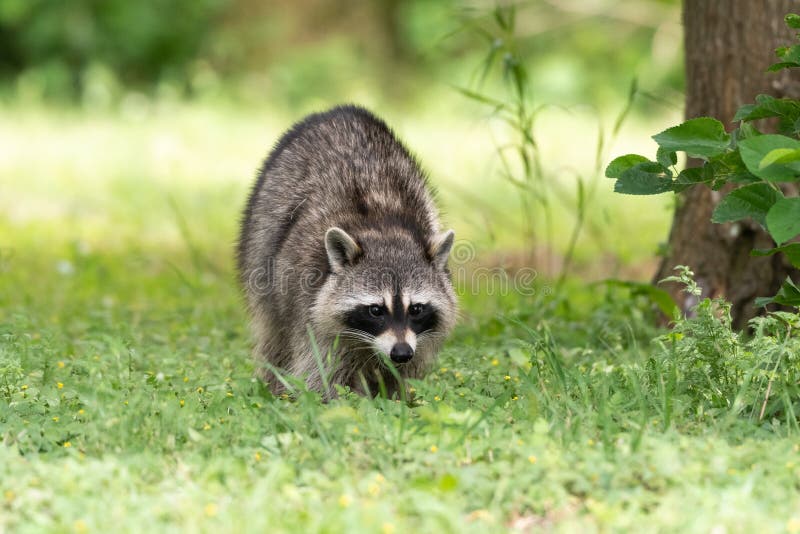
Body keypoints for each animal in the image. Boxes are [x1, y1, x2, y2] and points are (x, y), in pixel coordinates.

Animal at [237, 105, 457, 397]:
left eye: (417, 309)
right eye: (375, 310)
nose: (400, 353)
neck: (382, 230)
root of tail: (336, 112)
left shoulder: (420, 338)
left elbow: (406, 374)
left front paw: (400, 399)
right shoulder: (306, 301)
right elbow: (321, 372)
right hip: (260, 247)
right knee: (274, 336)